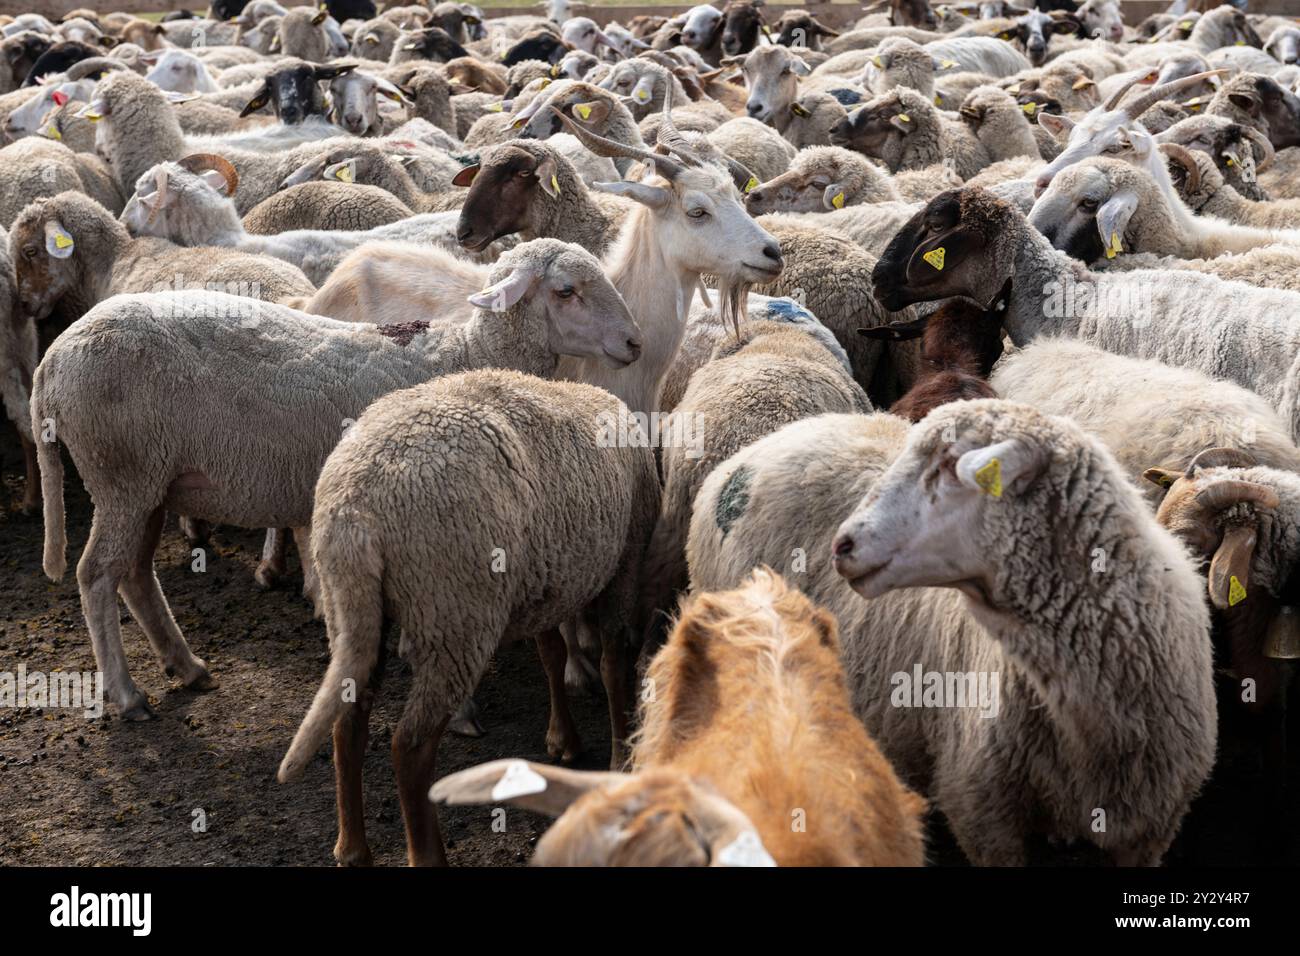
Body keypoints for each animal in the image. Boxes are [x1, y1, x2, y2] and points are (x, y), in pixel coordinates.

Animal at [31, 237, 644, 720]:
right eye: (566, 290)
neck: (464, 353)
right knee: (96, 575)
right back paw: (126, 693)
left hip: (152, 480)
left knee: (134, 574)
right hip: (120, 473)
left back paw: (187, 666)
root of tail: (54, 359)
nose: (635, 343)